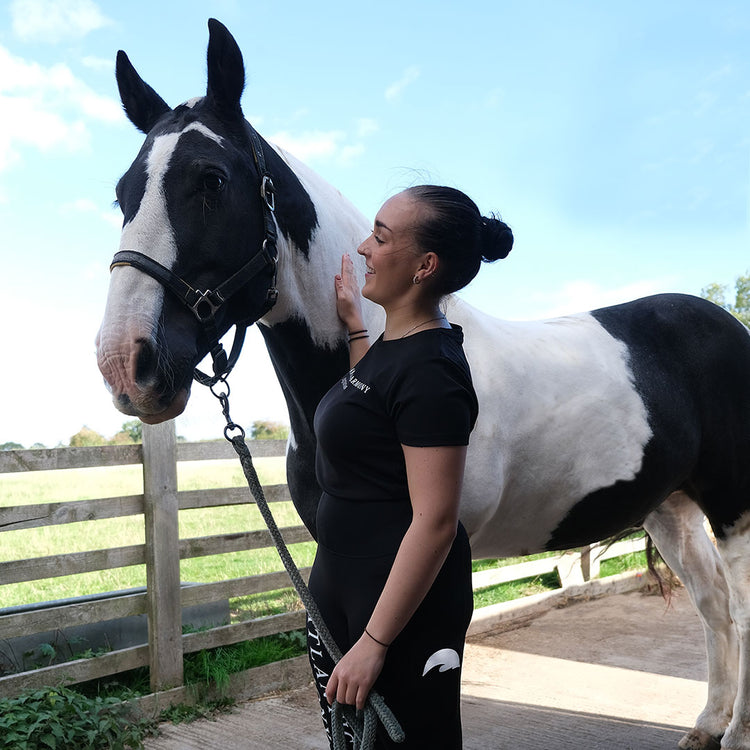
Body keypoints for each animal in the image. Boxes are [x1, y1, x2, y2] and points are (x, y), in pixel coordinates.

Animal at [96, 19, 750, 750]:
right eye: (123, 193)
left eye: (209, 180)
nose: (126, 363)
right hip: (670, 505)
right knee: (714, 606)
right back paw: (706, 726)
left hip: (733, 505)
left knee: (742, 610)